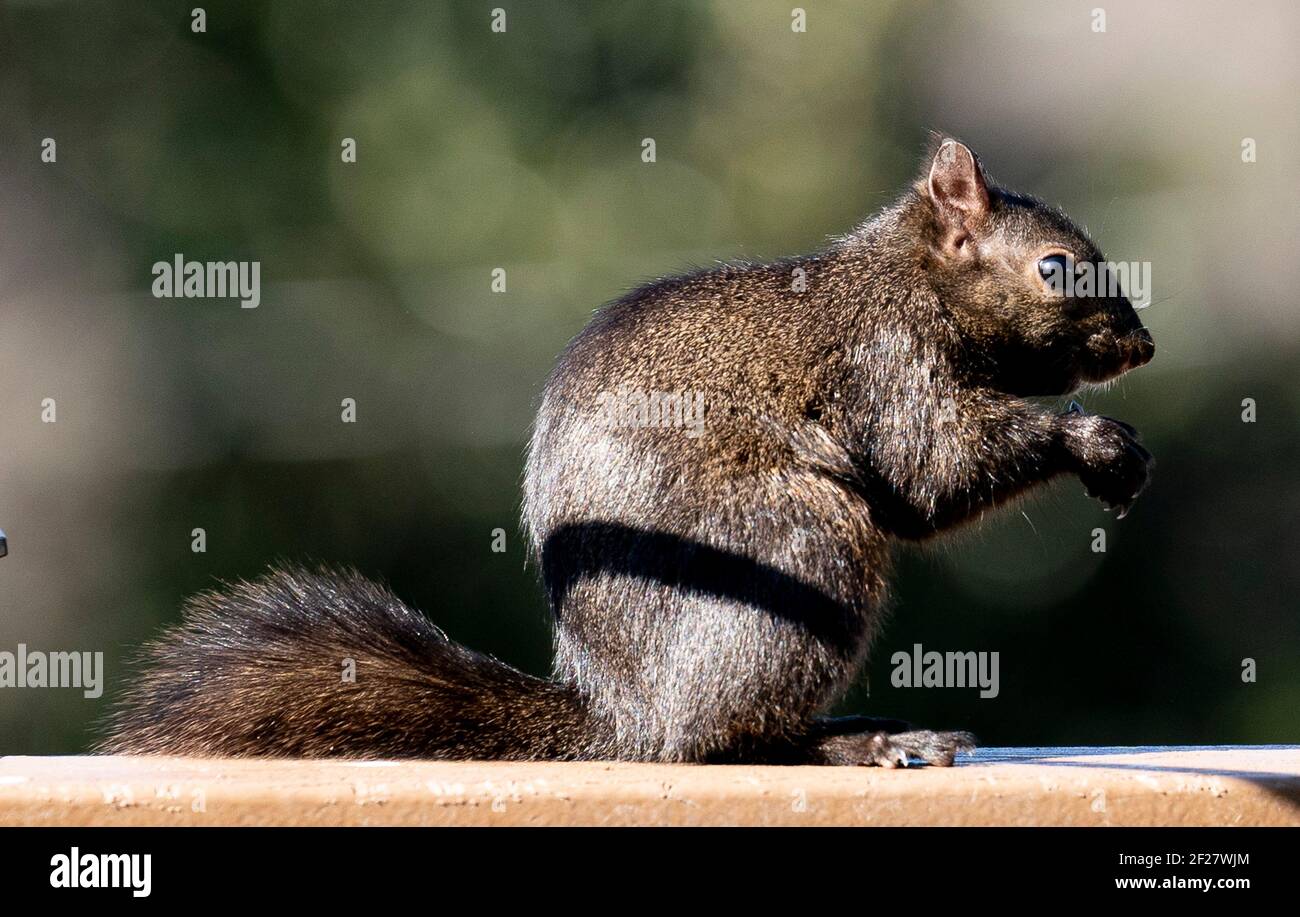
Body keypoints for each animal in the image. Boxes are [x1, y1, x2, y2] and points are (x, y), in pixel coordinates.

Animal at [101, 137, 1154, 766]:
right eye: (1055, 268)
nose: (1142, 346)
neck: (908, 283)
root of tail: (625, 712)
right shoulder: (886, 365)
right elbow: (932, 472)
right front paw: (1093, 439)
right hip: (795, 546)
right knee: (722, 740)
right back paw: (859, 741)